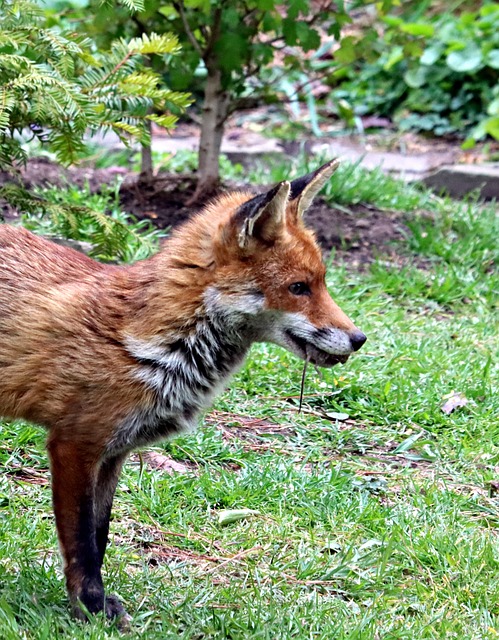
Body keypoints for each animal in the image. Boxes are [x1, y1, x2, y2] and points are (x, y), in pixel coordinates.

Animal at [0, 159, 366, 623]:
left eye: (322, 283)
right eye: (299, 287)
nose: (359, 339)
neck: (150, 345)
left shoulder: (113, 452)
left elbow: (100, 535)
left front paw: (93, 603)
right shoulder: (74, 444)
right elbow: (81, 540)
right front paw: (90, 606)